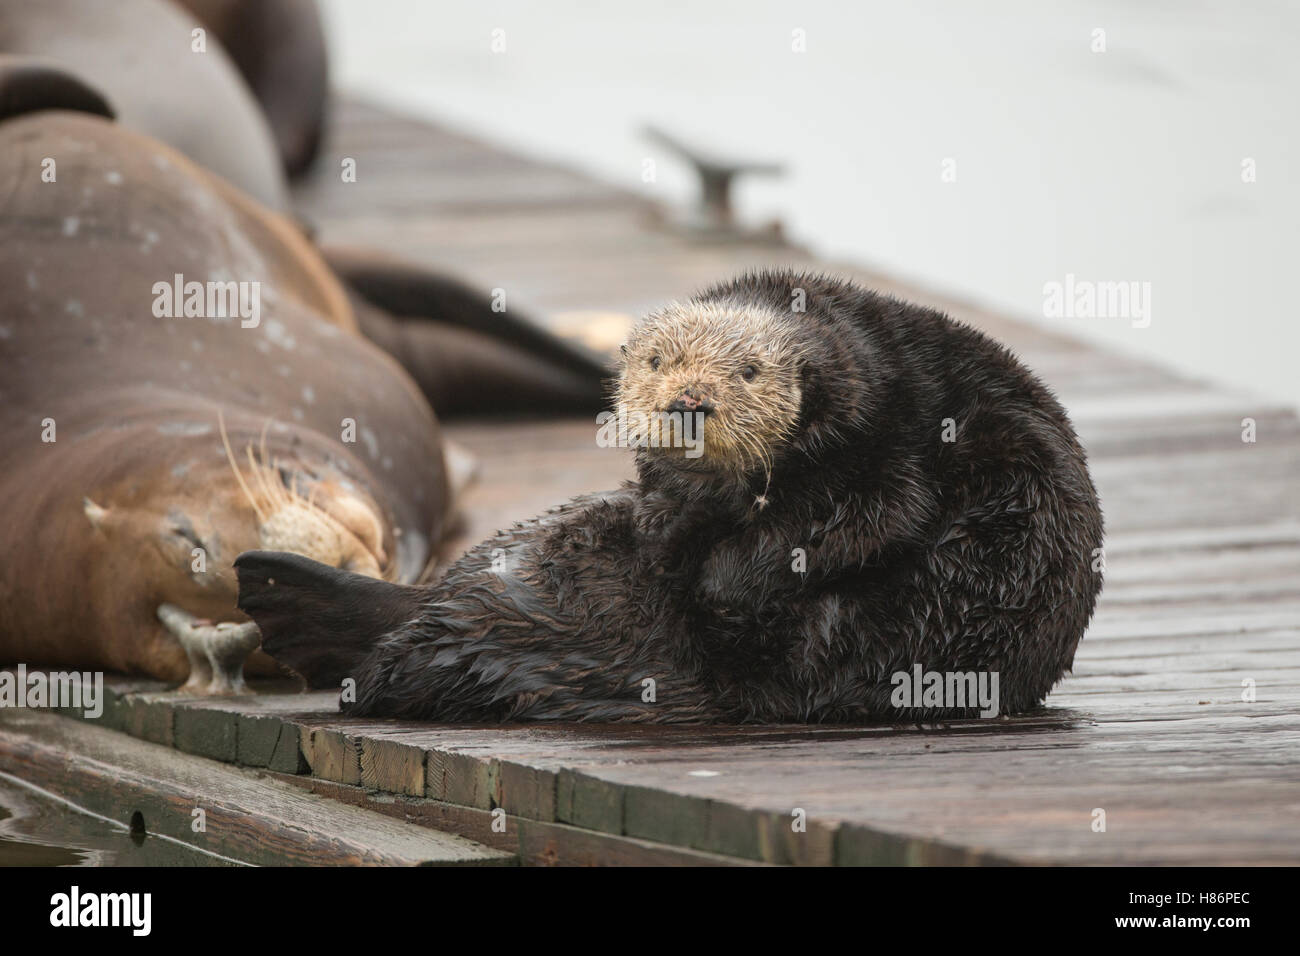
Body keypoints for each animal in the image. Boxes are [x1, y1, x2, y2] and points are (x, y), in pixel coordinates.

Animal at [237, 270, 1105, 722]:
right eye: (658, 360)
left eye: (749, 372)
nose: (691, 401)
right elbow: (673, 506)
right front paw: (672, 520)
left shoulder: (885, 450)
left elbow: (858, 519)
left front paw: (728, 570)